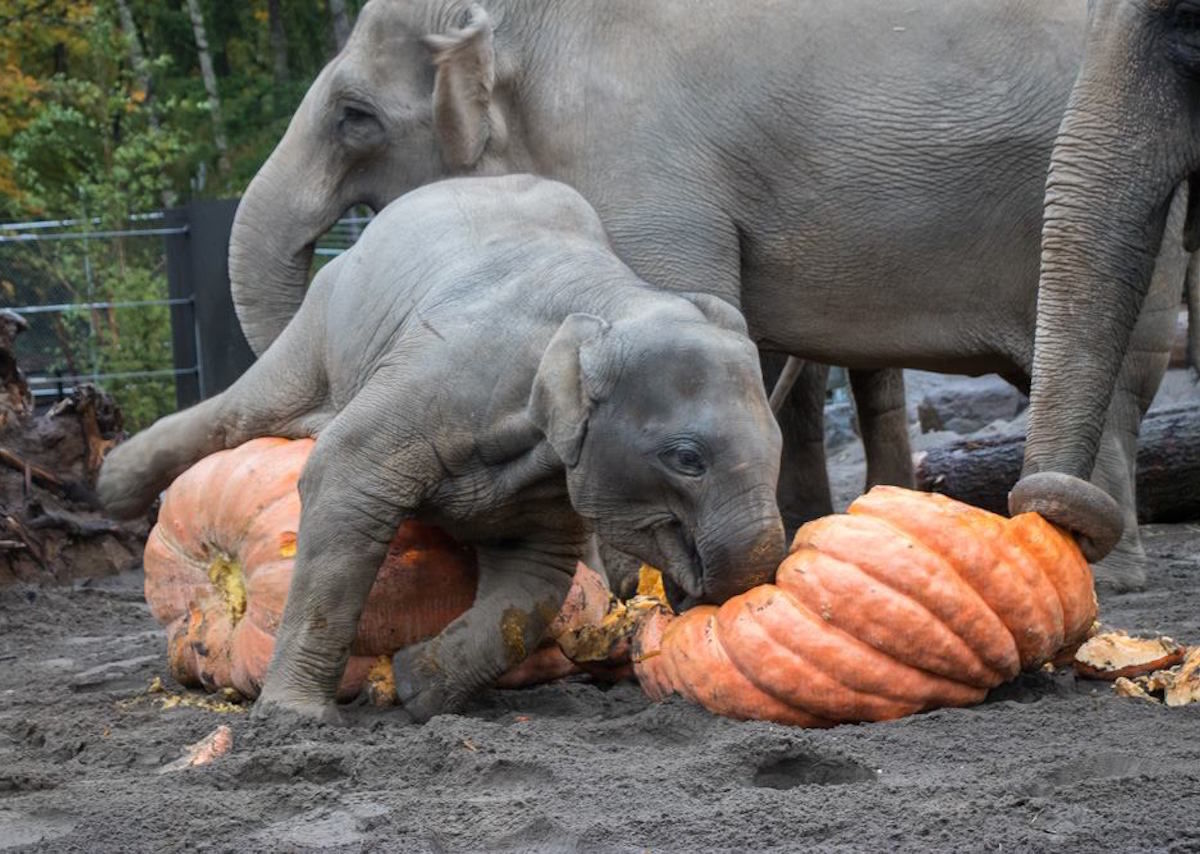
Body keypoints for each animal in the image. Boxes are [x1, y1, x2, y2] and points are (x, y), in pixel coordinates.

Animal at [98, 175, 786, 722]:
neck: (609, 301)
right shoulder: (437, 380)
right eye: (686, 459)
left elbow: (533, 584)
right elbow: (340, 481)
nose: (686, 594)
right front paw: (294, 720)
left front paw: (414, 687)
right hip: (323, 324)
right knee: (238, 414)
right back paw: (110, 486)